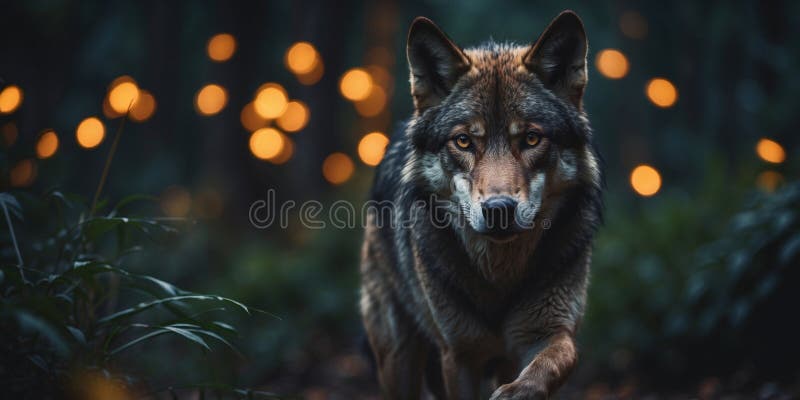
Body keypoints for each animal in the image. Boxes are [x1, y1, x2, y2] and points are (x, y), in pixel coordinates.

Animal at [359, 10, 603, 400]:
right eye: (463, 141)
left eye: (531, 138)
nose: (499, 208)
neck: (499, 276)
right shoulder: (458, 356)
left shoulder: (551, 332)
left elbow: (548, 365)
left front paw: (516, 392)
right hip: (399, 359)